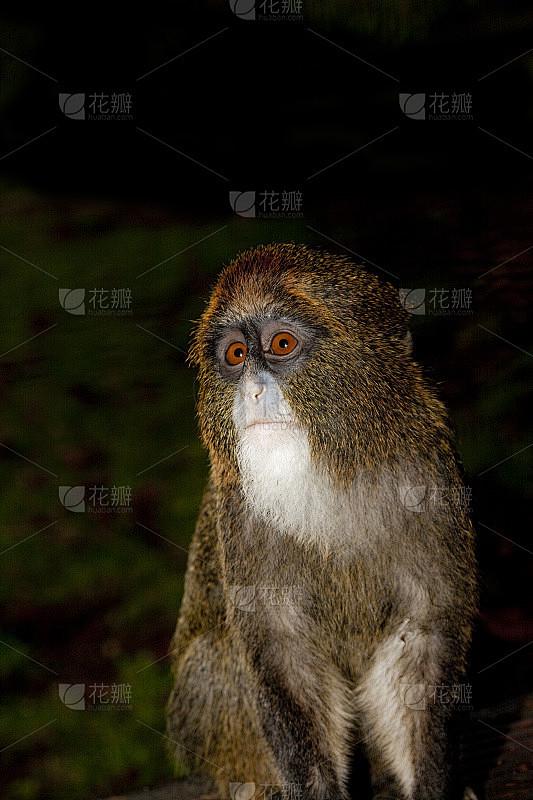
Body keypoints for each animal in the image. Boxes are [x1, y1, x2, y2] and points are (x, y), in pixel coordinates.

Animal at [166, 243, 477, 800]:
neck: (331, 471)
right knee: (211, 655)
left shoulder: (432, 474)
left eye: (281, 344)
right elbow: (284, 656)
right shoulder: (240, 513)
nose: (251, 391)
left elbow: (422, 638)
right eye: (236, 356)